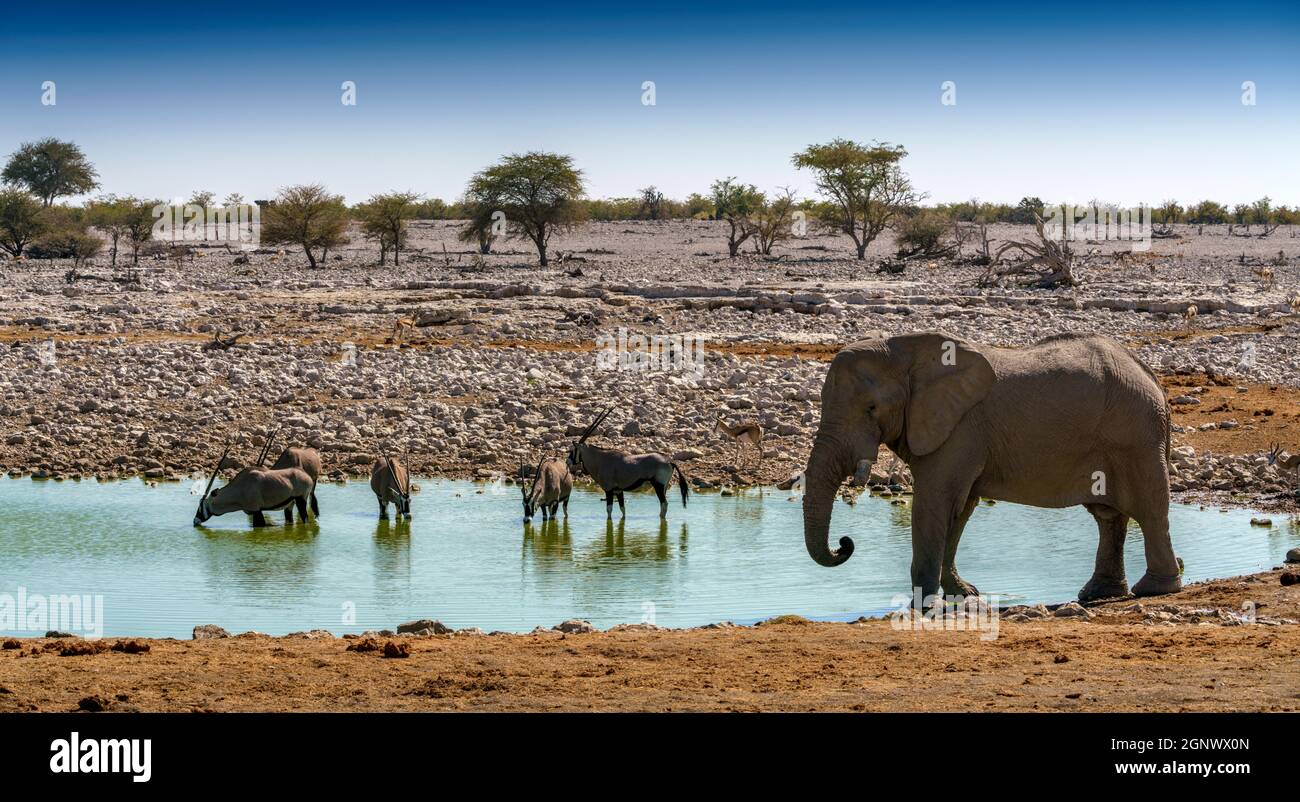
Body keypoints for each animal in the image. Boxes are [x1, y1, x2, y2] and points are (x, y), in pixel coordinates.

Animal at [803, 331, 1181, 604]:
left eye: (871, 409)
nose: (845, 543)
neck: (903, 350)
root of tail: (1150, 376)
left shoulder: (959, 431)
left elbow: (935, 502)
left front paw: (922, 605)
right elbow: (959, 509)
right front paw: (964, 594)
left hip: (1137, 437)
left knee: (1148, 509)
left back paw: (1154, 589)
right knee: (1108, 517)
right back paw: (1099, 595)